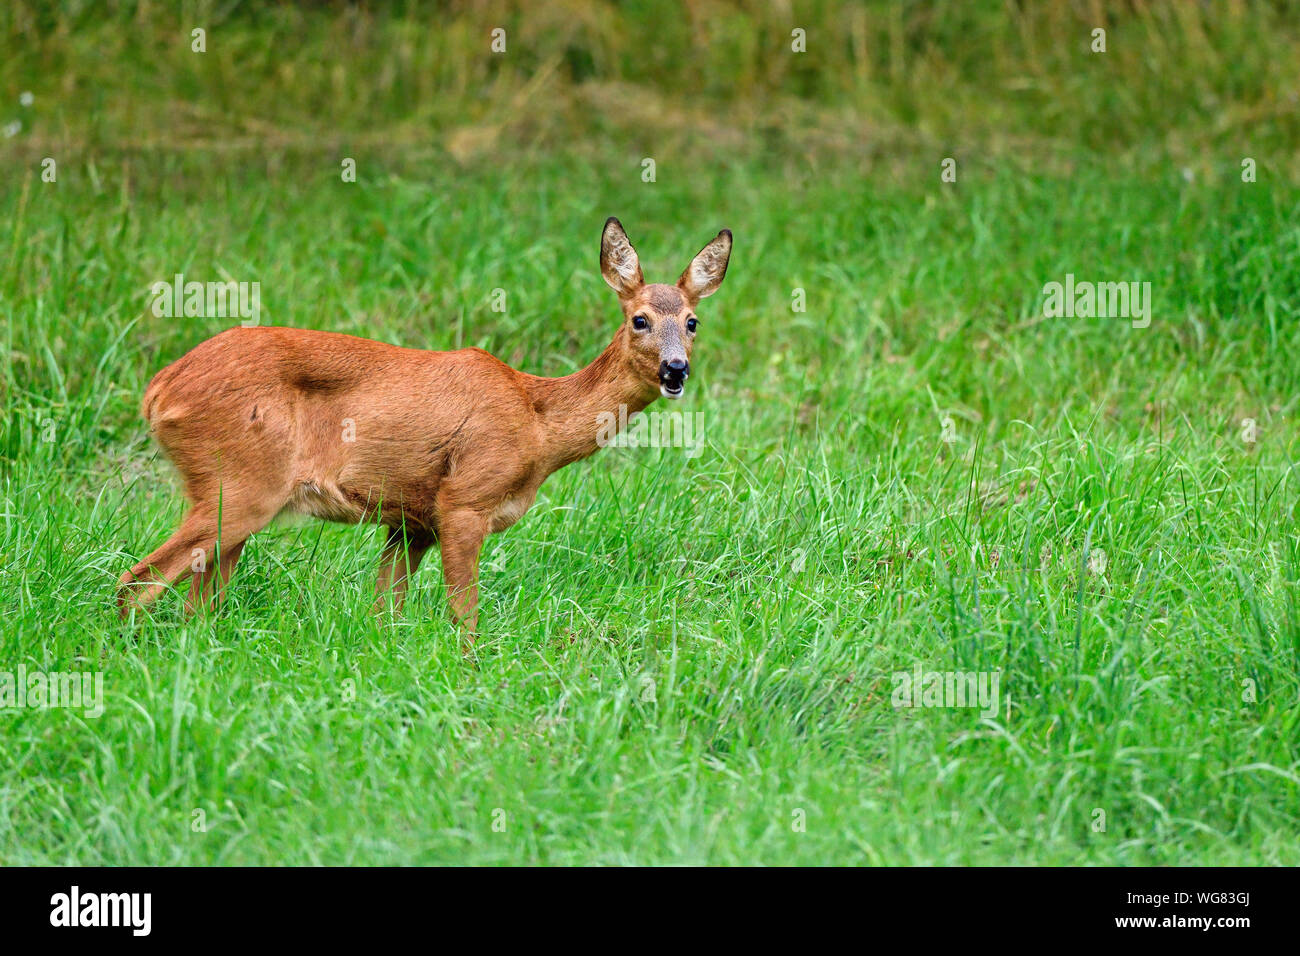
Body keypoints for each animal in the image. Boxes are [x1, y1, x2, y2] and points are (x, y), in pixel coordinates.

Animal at [117, 218, 732, 636]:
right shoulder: (463, 499)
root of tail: (159, 391)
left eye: (693, 322)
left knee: (199, 603)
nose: (675, 370)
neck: (537, 424)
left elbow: (385, 609)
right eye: (640, 319)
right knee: (136, 583)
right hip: (240, 484)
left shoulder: (411, 517)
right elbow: (465, 616)